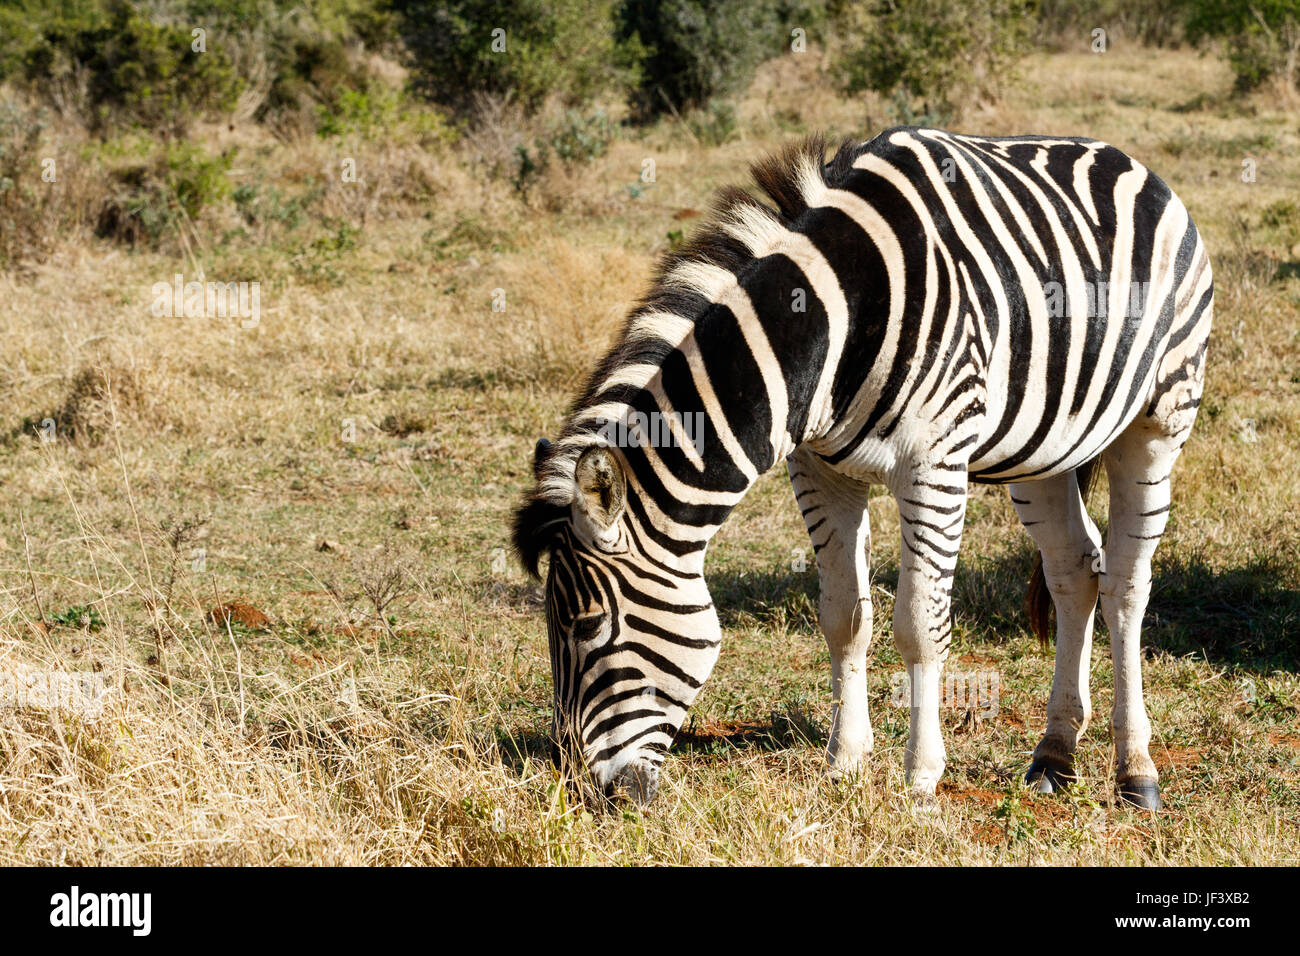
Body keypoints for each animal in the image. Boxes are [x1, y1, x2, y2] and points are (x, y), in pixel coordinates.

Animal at [512, 128, 1212, 809]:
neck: (833, 326)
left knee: (1126, 582)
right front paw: (844, 761)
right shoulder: (820, 471)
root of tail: (1124, 157)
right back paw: (1055, 755)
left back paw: (1136, 770)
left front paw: (921, 780)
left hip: (1161, 418)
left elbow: (920, 624)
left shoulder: (935, 465)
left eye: (585, 626)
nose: (576, 791)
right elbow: (843, 615)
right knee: (1074, 570)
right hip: (1042, 449)